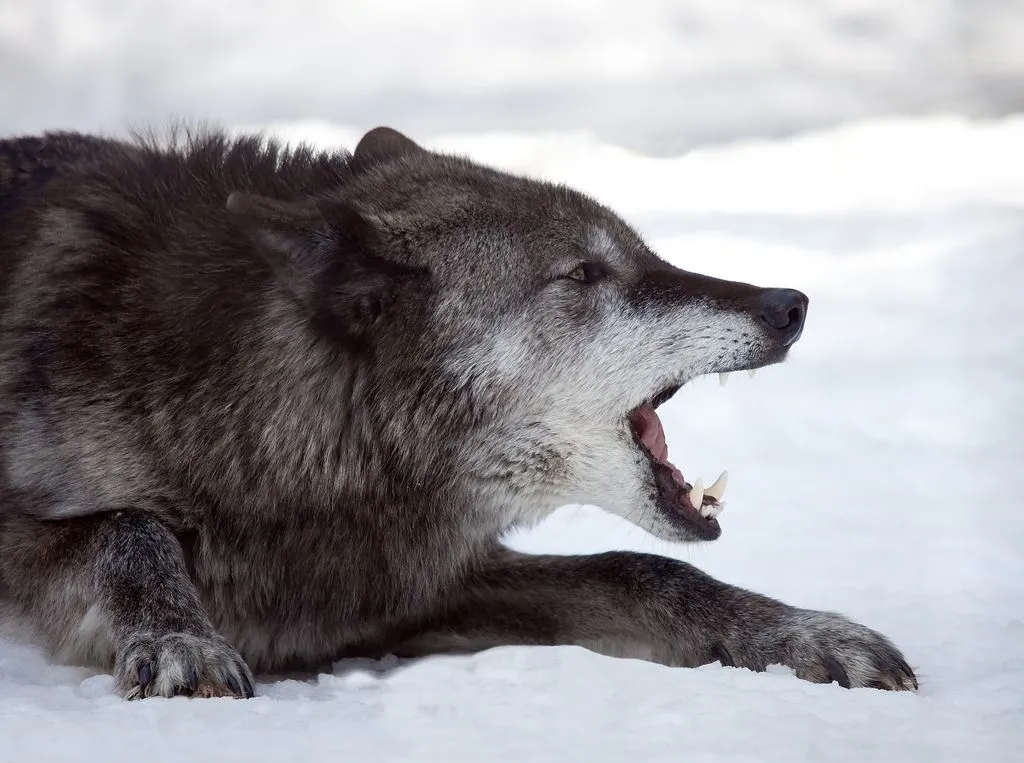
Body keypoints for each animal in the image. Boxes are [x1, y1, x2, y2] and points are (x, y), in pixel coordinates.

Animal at [0, 125, 917, 699]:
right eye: (585, 274)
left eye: (644, 253)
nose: (790, 304)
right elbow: (128, 527)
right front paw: (178, 639)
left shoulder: (426, 583)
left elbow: (646, 569)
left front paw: (806, 633)